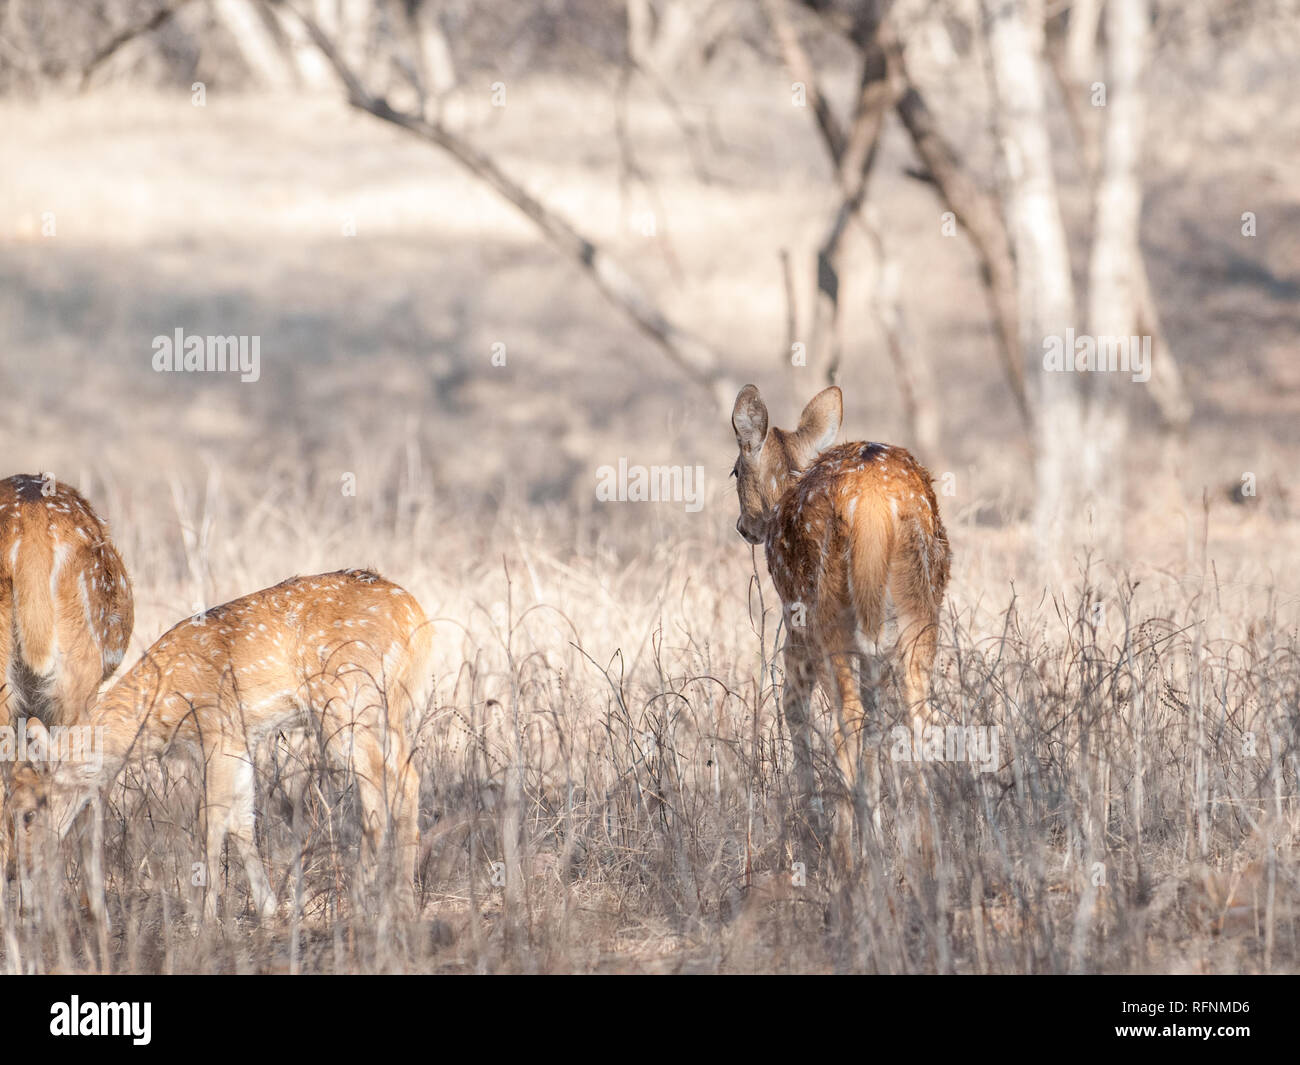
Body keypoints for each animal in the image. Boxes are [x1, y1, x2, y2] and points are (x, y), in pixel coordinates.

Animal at [3, 569, 434, 920]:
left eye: (28, 814)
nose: (14, 873)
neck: (163, 710)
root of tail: (415, 615)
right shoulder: (241, 742)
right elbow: (242, 824)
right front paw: (268, 909)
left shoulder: (218, 732)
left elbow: (210, 823)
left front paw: (204, 920)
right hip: (392, 708)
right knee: (408, 778)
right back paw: (402, 901)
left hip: (348, 700)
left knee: (378, 790)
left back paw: (365, 901)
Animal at [730, 384, 951, 868]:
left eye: (733, 470)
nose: (744, 527)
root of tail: (872, 506)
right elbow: (878, 728)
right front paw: (879, 838)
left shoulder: (795, 625)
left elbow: (792, 707)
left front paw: (816, 827)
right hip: (918, 612)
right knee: (917, 717)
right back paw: (927, 856)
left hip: (826, 611)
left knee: (845, 718)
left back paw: (844, 858)